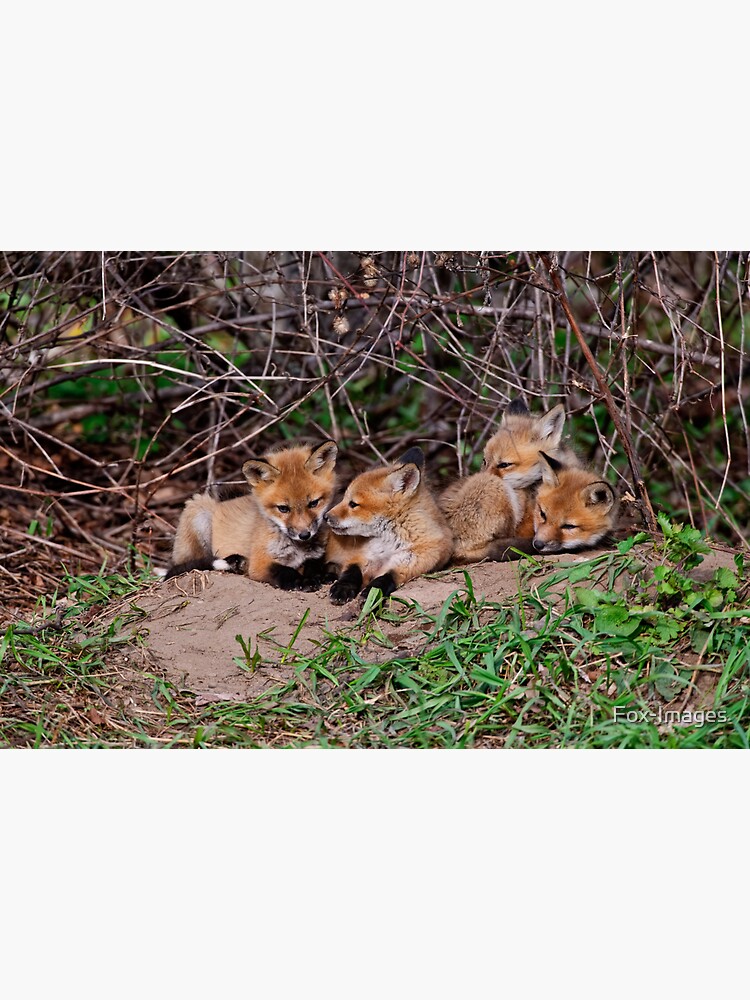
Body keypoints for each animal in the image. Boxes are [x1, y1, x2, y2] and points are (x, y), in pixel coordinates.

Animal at [164, 440, 338, 590]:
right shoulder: (259, 562)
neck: (298, 548)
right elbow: (284, 571)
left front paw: (322, 575)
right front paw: (302, 581)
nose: (304, 535)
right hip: (199, 511)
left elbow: (315, 565)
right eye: (283, 508)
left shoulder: (317, 555)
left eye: (313, 503)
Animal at [323, 447, 454, 605]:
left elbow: (383, 580)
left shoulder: (409, 564)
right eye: (344, 499)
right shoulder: (360, 557)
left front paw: (371, 595)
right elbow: (350, 573)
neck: (387, 544)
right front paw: (343, 588)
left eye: (353, 504)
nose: (325, 517)